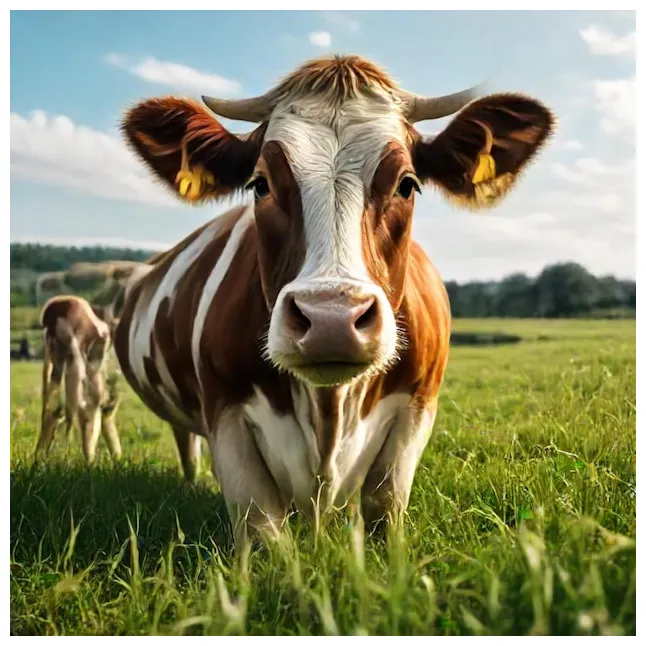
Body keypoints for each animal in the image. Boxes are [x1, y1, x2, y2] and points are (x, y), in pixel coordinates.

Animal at [114, 54, 555, 550]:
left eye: (407, 184)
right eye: (260, 185)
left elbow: (385, 505)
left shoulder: (418, 406)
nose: (331, 319)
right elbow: (262, 528)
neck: (328, 411)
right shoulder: (226, 415)